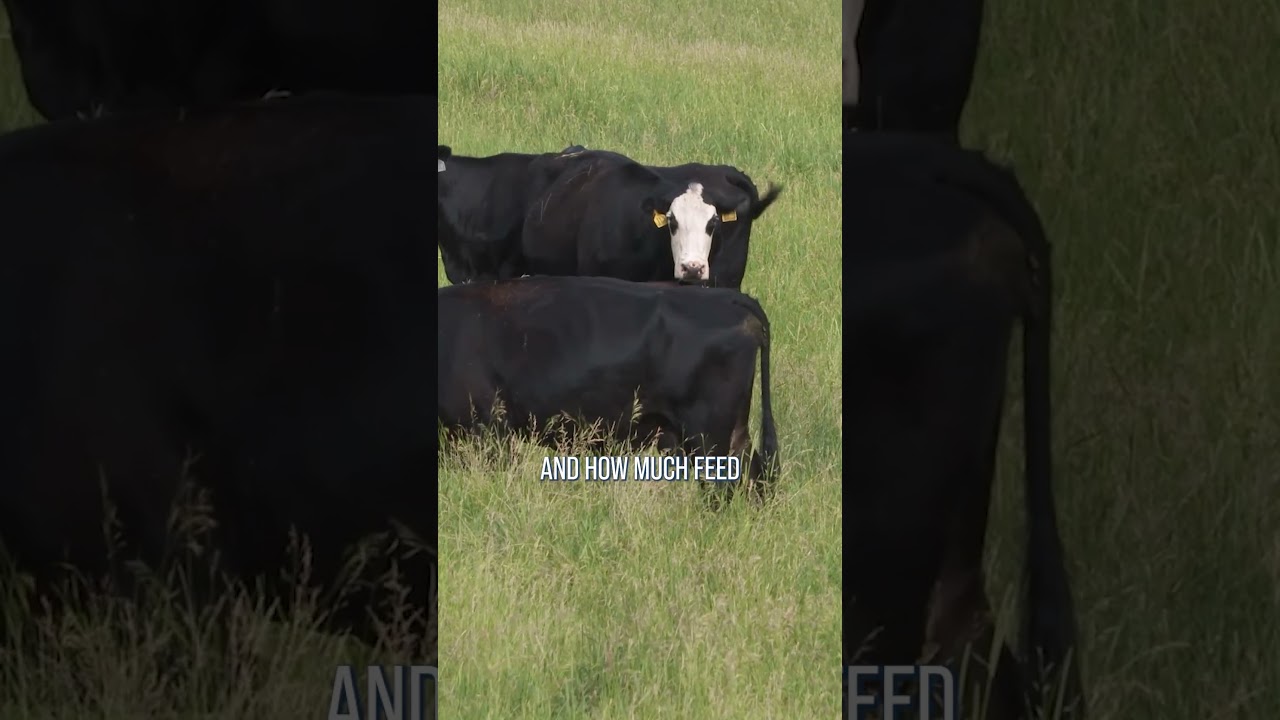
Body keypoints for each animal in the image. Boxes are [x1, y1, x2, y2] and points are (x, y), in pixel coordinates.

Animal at [437, 276, 780, 503]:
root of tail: (728, 298)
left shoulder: (488, 432)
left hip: (708, 434)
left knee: (726, 485)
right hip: (722, 431)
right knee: (754, 475)